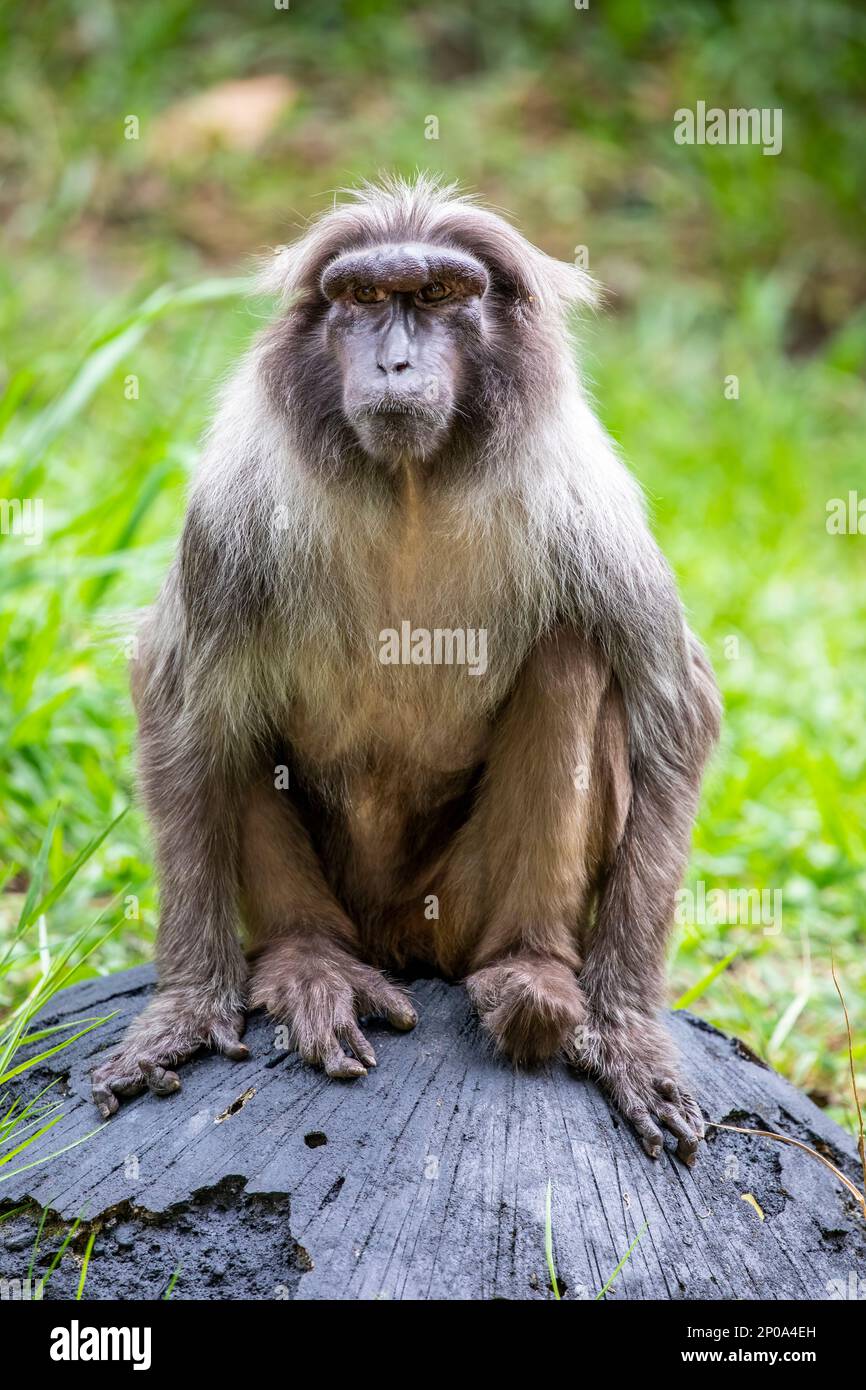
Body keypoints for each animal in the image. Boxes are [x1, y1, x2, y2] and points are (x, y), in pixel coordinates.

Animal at [91, 175, 720, 1166]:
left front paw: (624, 1031)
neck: (412, 484)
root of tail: (394, 941)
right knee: (229, 707)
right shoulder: (232, 503)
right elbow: (175, 699)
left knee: (572, 654)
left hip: (450, 907)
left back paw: (527, 974)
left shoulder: (584, 495)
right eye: (362, 299)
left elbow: (677, 715)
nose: (393, 362)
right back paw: (309, 961)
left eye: (432, 297)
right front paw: (187, 1005)